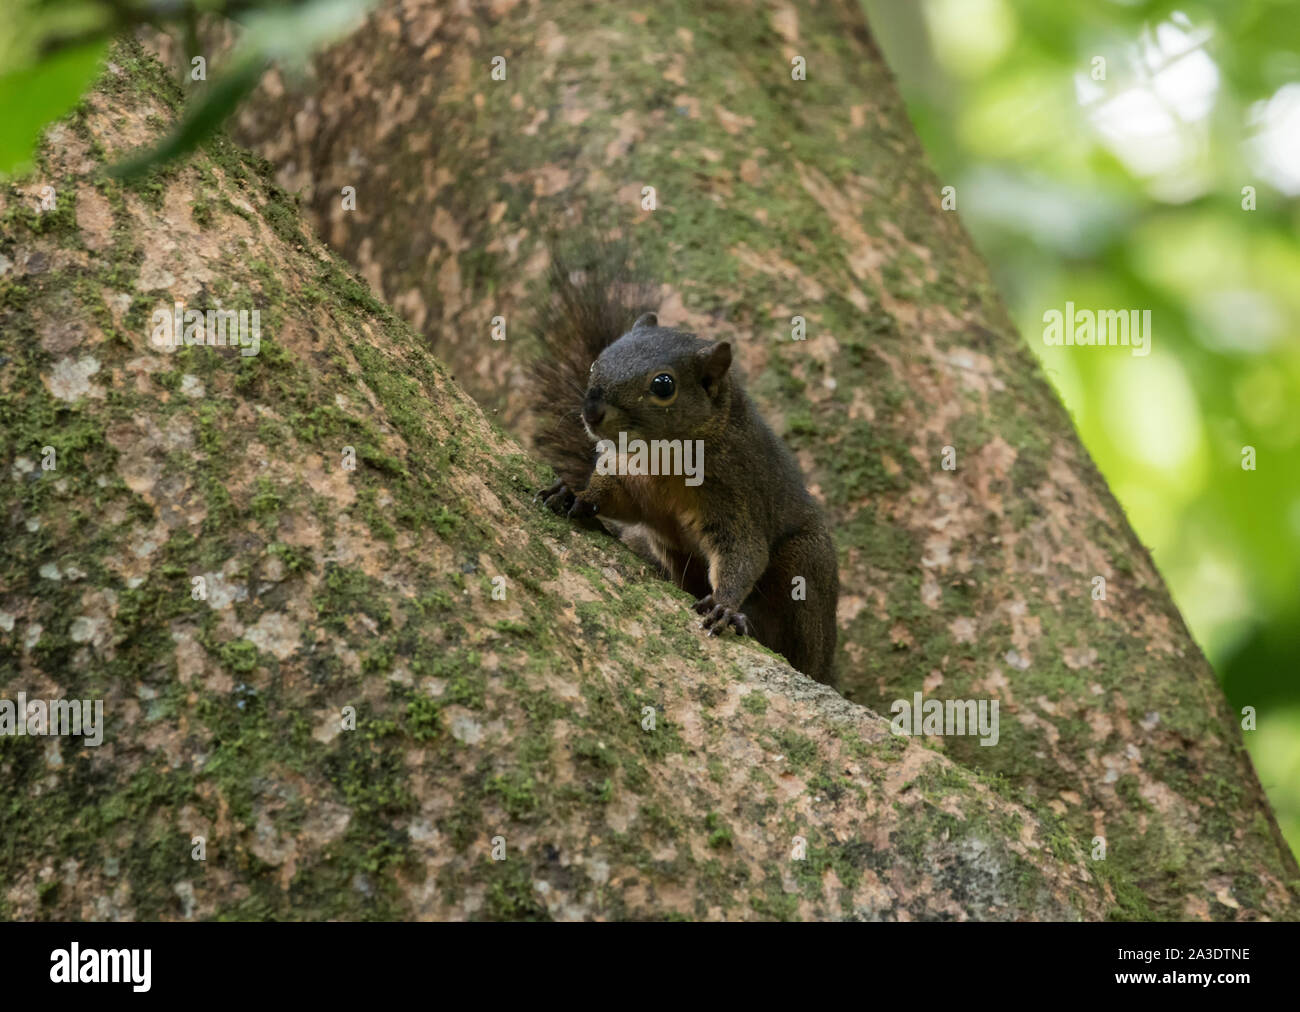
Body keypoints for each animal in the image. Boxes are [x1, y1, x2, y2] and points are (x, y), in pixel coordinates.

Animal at [529, 240, 839, 685]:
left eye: (663, 385)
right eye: (595, 362)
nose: (591, 411)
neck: (660, 457)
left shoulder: (736, 497)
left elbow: (744, 553)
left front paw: (724, 606)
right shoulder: (633, 486)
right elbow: (615, 499)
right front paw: (575, 494)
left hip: (807, 568)